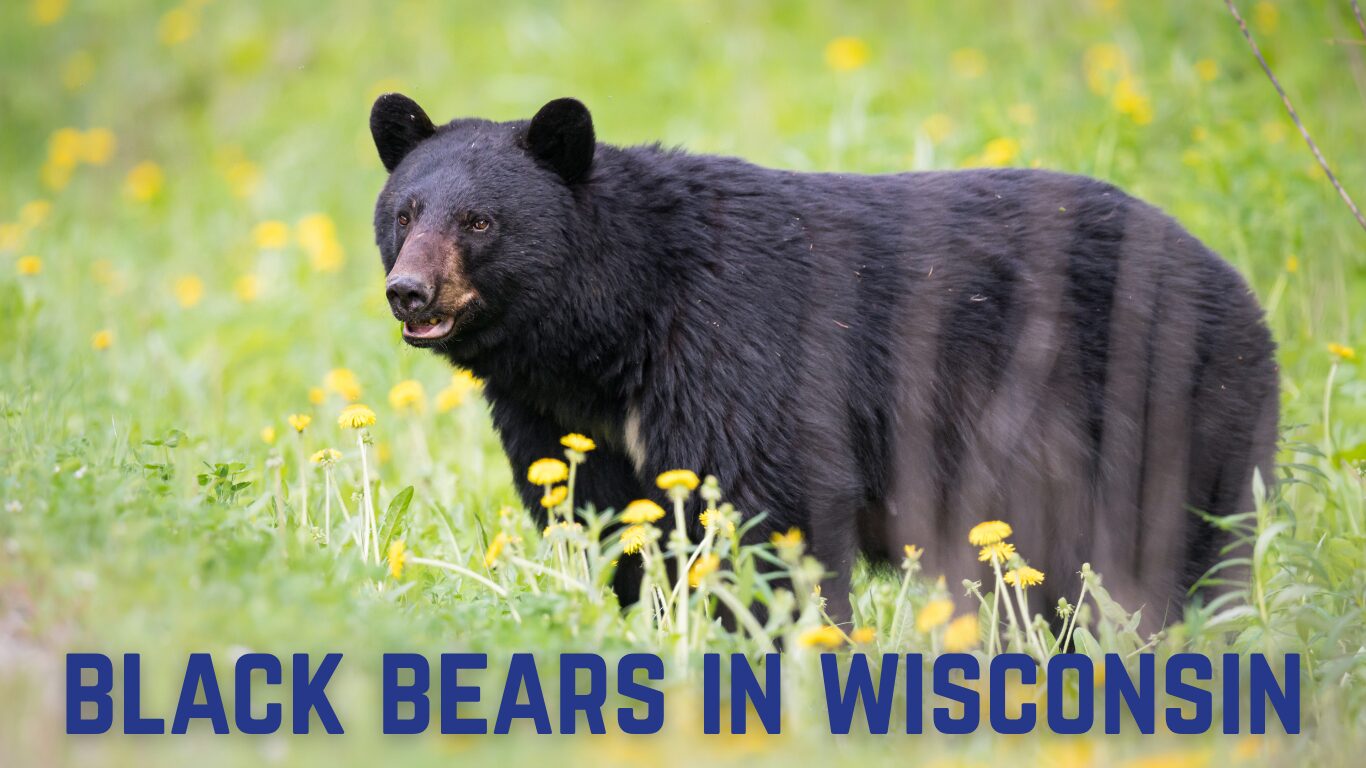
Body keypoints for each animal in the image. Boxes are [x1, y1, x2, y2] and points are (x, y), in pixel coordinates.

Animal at [368, 94, 1279, 628]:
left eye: (480, 221)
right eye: (405, 211)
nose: (409, 291)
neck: (611, 330)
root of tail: (1239, 286)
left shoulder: (736, 346)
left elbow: (775, 503)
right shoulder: (559, 418)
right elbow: (611, 520)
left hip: (1167, 406)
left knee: (1172, 550)